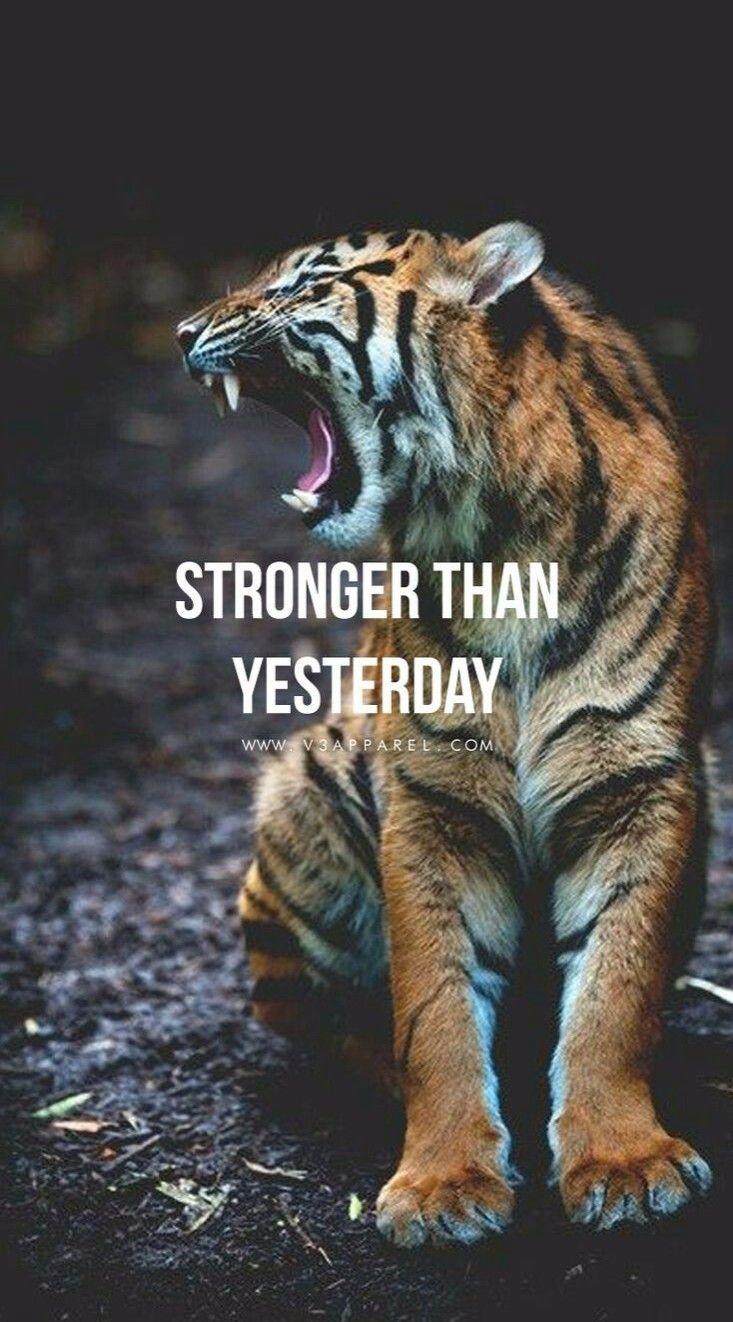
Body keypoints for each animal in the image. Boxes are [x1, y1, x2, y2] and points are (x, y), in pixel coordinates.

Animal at [176, 221, 715, 1246]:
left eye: (299, 284)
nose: (184, 331)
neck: (497, 538)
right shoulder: (433, 800)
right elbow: (433, 1010)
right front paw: (443, 1184)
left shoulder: (636, 784)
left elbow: (615, 993)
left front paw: (623, 1165)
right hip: (311, 777)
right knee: (315, 1019)